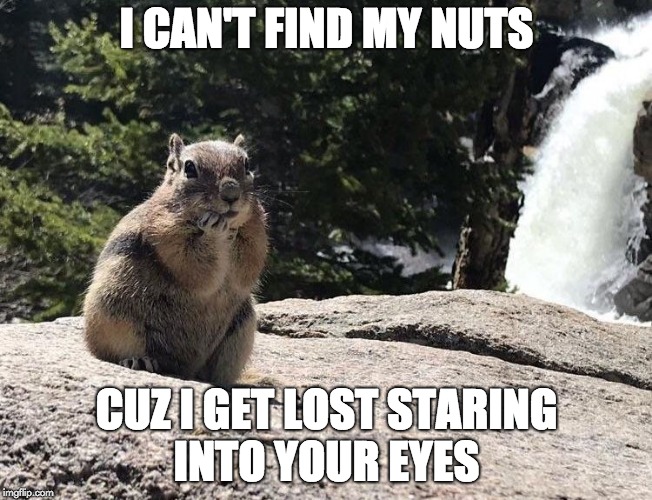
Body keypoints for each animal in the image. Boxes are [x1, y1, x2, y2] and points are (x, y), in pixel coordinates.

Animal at [83, 133, 268, 386]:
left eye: (247, 164)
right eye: (189, 168)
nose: (231, 194)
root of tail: (185, 368)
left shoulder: (256, 234)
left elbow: (248, 266)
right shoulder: (166, 233)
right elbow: (194, 268)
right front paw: (213, 231)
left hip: (243, 326)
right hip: (112, 313)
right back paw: (139, 360)